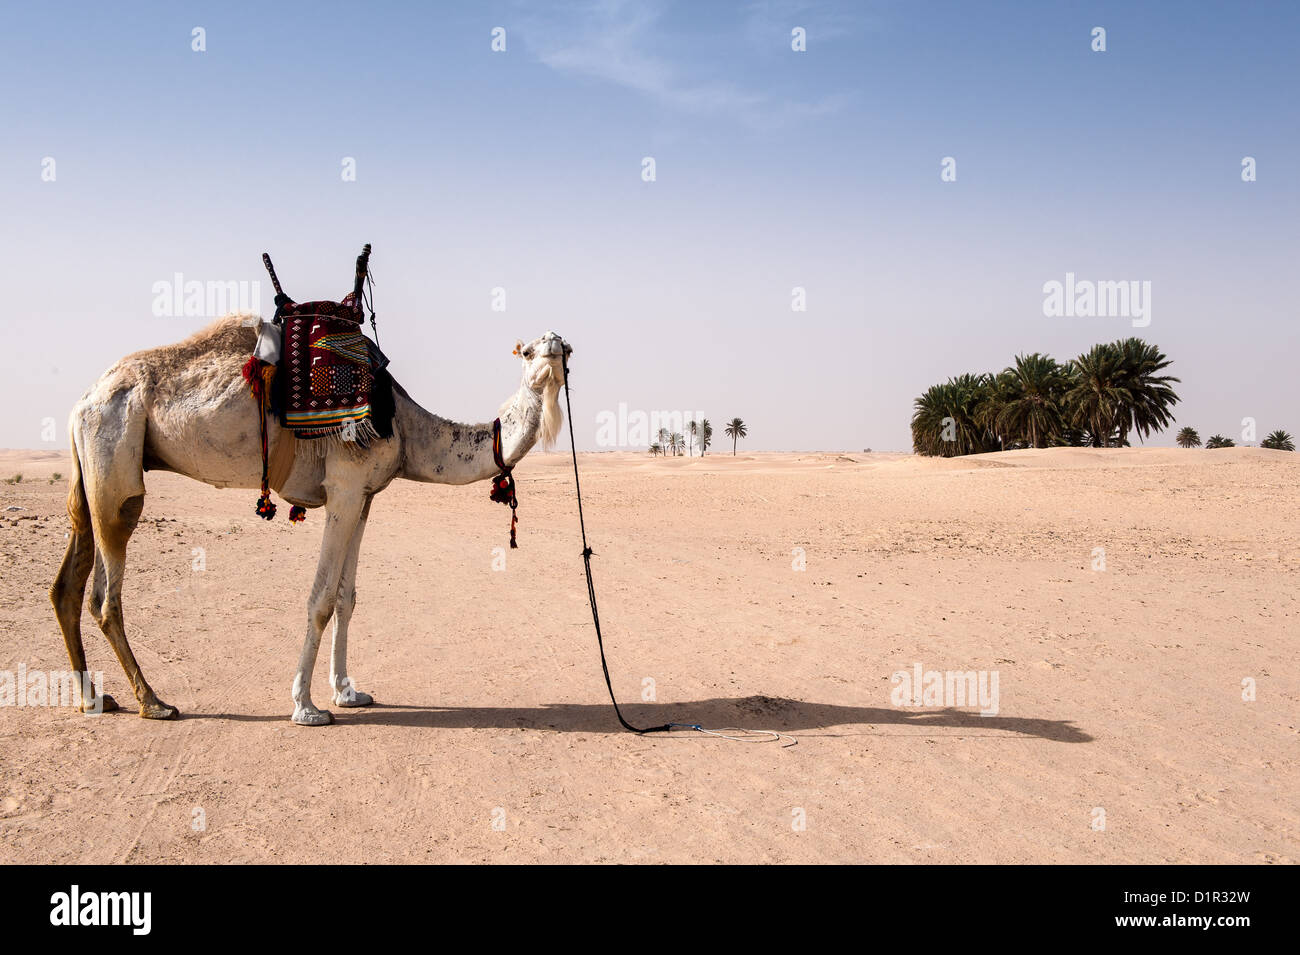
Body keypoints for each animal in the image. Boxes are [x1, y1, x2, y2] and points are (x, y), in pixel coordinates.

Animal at [49, 316, 570, 725]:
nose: (552, 348)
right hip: (117, 466)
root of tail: (83, 400)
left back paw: (94, 698)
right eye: (527, 350)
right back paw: (154, 702)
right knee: (104, 594)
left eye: (567, 349)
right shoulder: (343, 487)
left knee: (67, 586)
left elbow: (346, 596)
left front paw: (348, 692)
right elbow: (319, 599)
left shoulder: (365, 496)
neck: (407, 428)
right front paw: (306, 707)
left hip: (92, 469)